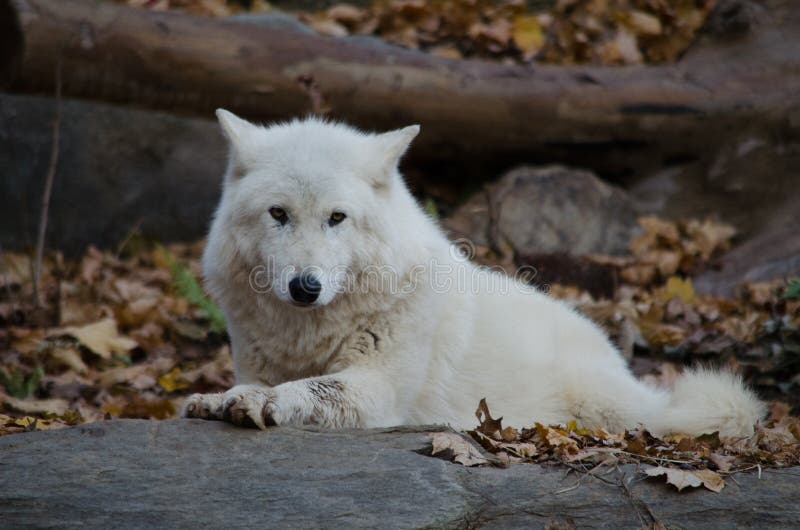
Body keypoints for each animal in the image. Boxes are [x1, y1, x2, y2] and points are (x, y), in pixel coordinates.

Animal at [181, 110, 764, 437]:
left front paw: (259, 402)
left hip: (618, 410)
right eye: (278, 214)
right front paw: (216, 399)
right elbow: (253, 383)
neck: (309, 333)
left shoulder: (379, 389)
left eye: (337, 218)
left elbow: (312, 388)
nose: (306, 287)